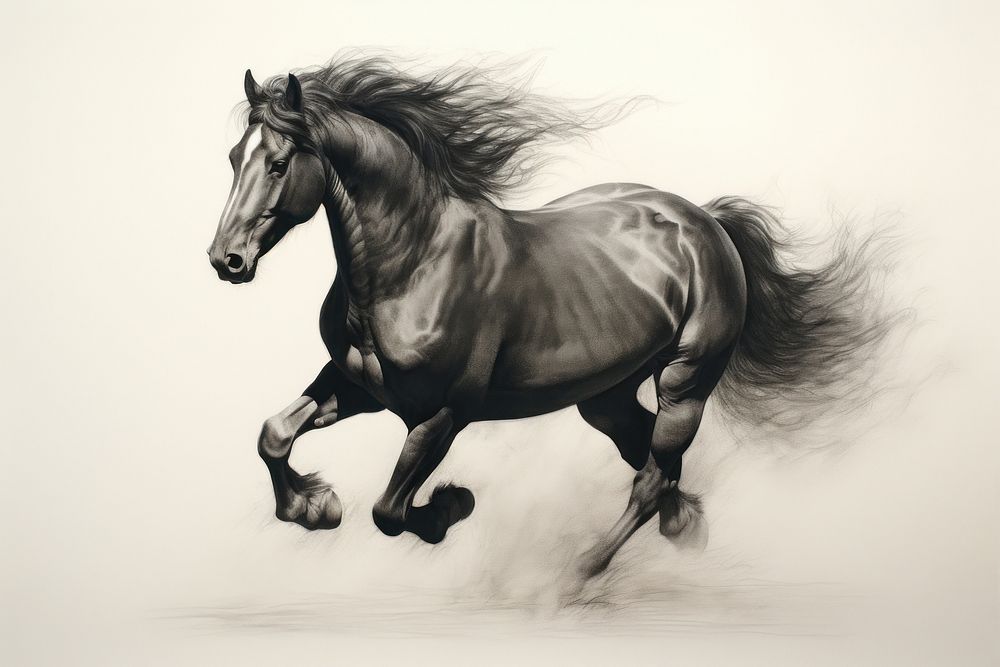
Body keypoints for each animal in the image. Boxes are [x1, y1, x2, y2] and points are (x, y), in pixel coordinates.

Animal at [207, 55, 893, 580]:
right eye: (234, 157)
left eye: (277, 163)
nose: (226, 259)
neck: (412, 265)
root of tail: (704, 221)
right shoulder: (360, 387)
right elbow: (274, 433)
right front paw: (316, 507)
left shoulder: (441, 414)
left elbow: (390, 511)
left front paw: (450, 507)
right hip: (604, 397)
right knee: (651, 458)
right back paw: (685, 524)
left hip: (686, 382)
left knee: (651, 474)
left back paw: (582, 569)